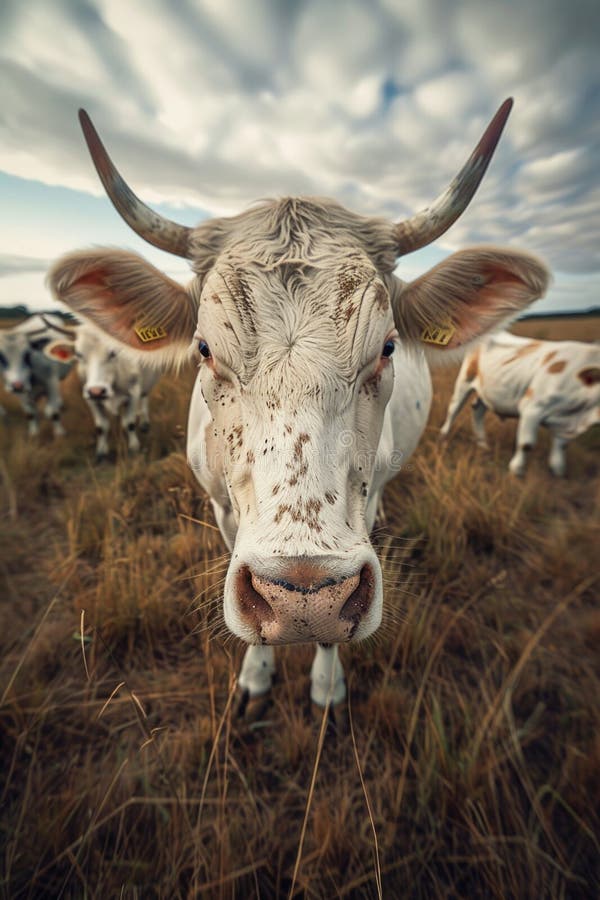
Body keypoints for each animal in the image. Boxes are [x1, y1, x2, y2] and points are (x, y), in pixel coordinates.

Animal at [45, 323, 161, 460]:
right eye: (78, 354)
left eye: (113, 352)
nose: (97, 391)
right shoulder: (90, 399)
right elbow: (101, 426)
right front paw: (101, 452)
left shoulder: (134, 392)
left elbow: (129, 423)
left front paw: (134, 448)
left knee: (144, 398)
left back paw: (144, 423)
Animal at [440, 331, 600, 476]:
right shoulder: (532, 408)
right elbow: (526, 444)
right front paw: (516, 469)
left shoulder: (563, 421)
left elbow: (561, 446)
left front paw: (558, 471)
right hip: (466, 379)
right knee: (454, 408)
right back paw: (443, 435)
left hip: (487, 389)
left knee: (478, 409)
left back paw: (482, 444)